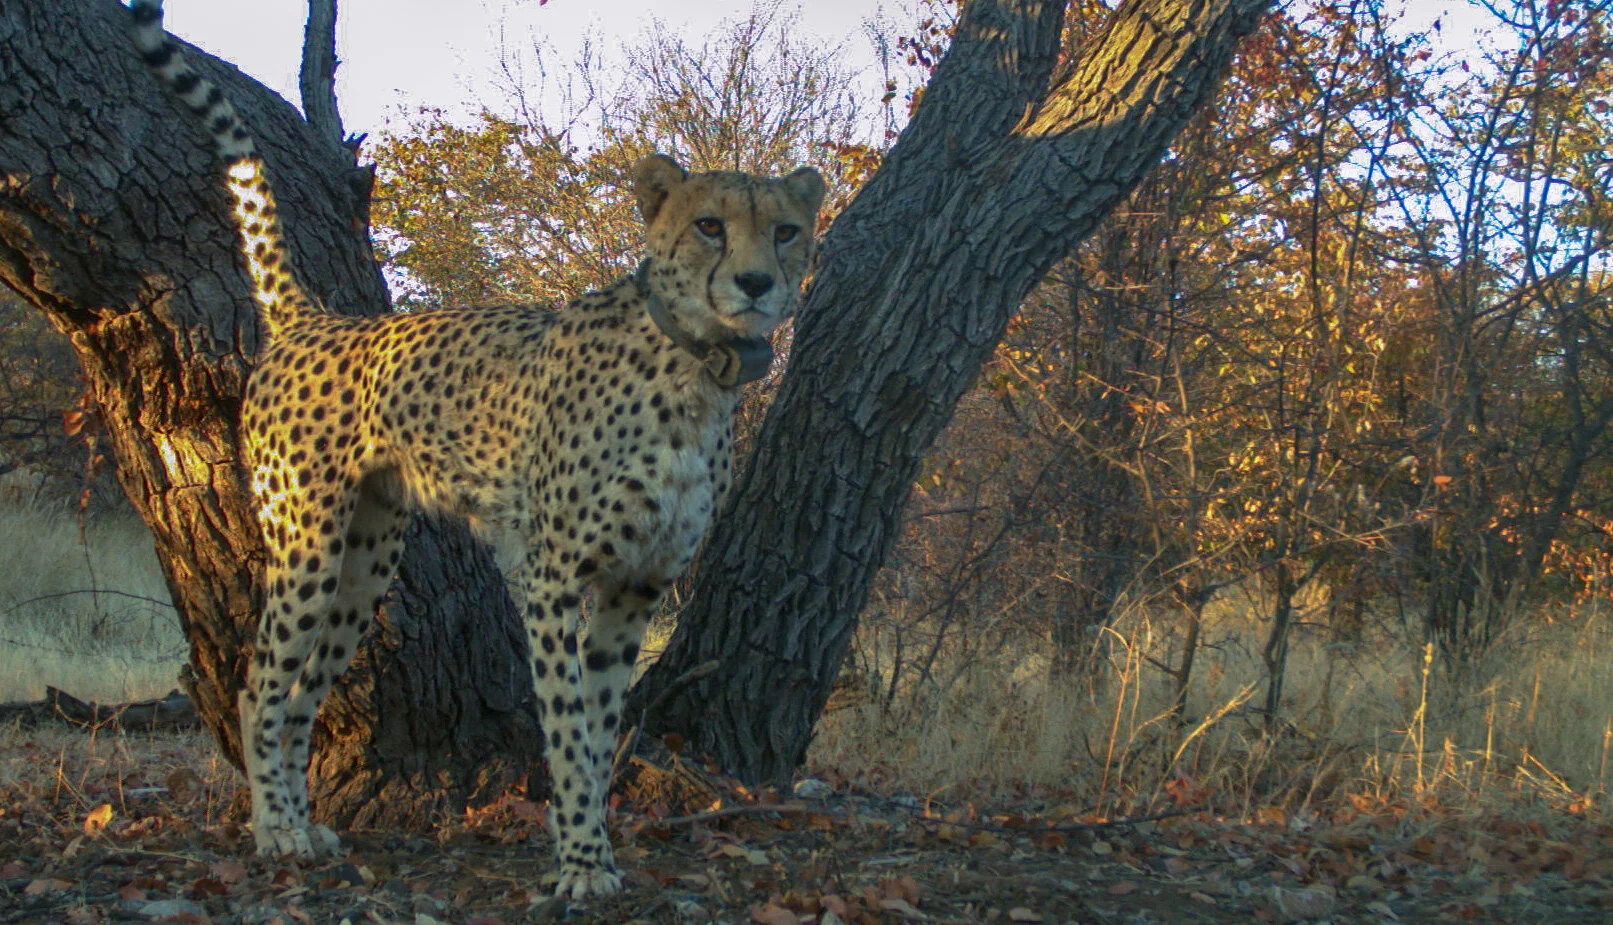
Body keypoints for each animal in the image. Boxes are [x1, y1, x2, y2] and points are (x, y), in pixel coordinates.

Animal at [127, 0, 823, 898]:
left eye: (785, 231)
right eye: (709, 226)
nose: (757, 283)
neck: (694, 366)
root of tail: (319, 319)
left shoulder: (636, 585)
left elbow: (601, 728)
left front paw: (590, 843)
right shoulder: (553, 578)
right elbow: (567, 728)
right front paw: (580, 861)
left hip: (365, 563)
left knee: (305, 689)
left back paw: (305, 823)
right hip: (307, 542)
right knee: (260, 683)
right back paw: (275, 828)